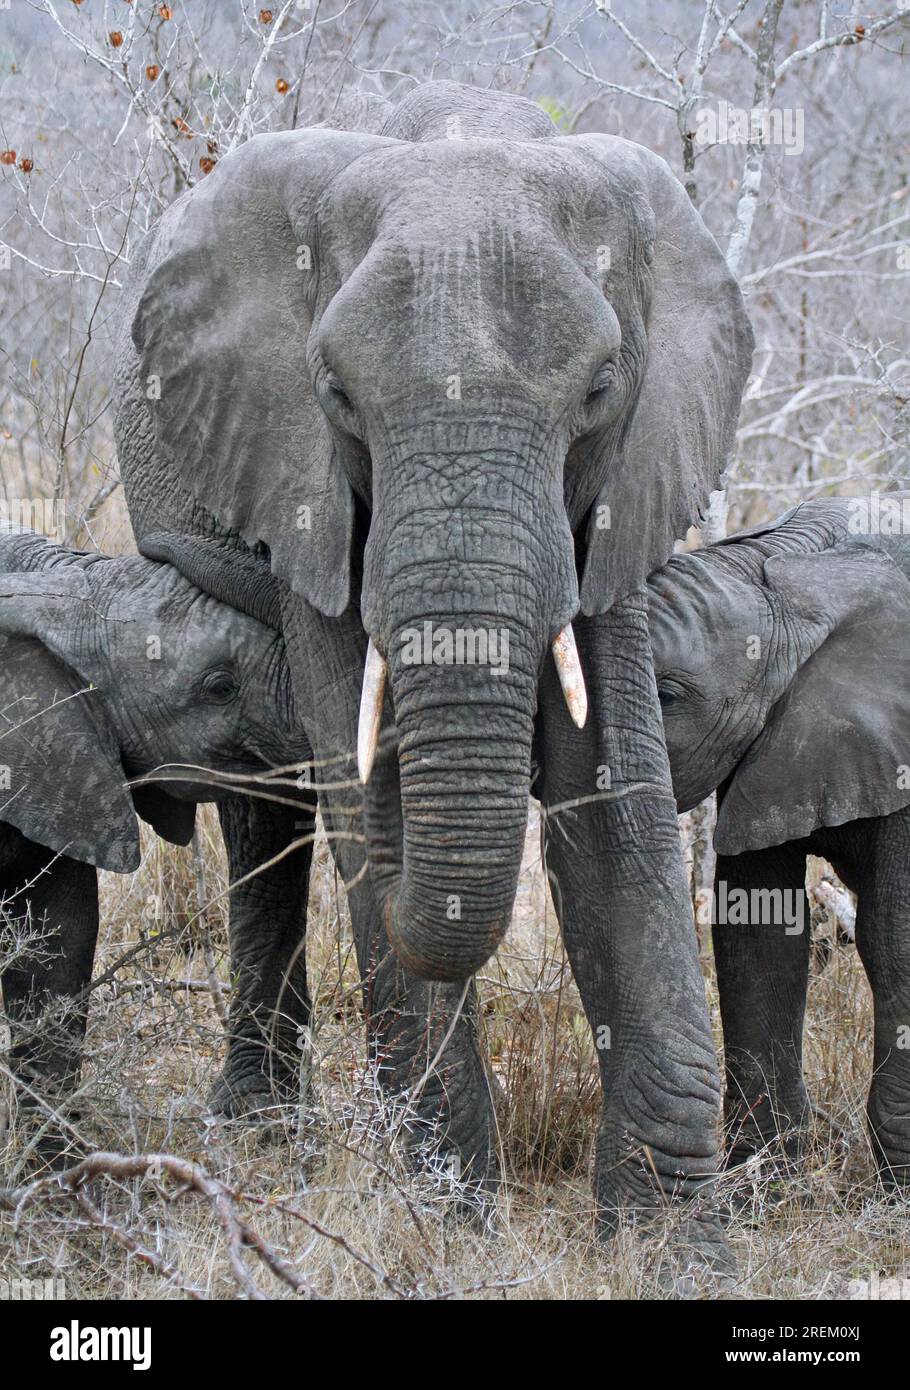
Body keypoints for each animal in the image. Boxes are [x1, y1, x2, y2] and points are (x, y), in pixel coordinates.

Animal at [111, 79, 753, 1252]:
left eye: (601, 388)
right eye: (333, 392)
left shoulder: (618, 494)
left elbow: (613, 801)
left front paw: (671, 1241)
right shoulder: (302, 486)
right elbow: (363, 793)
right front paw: (448, 1220)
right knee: (267, 818)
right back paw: (259, 1123)